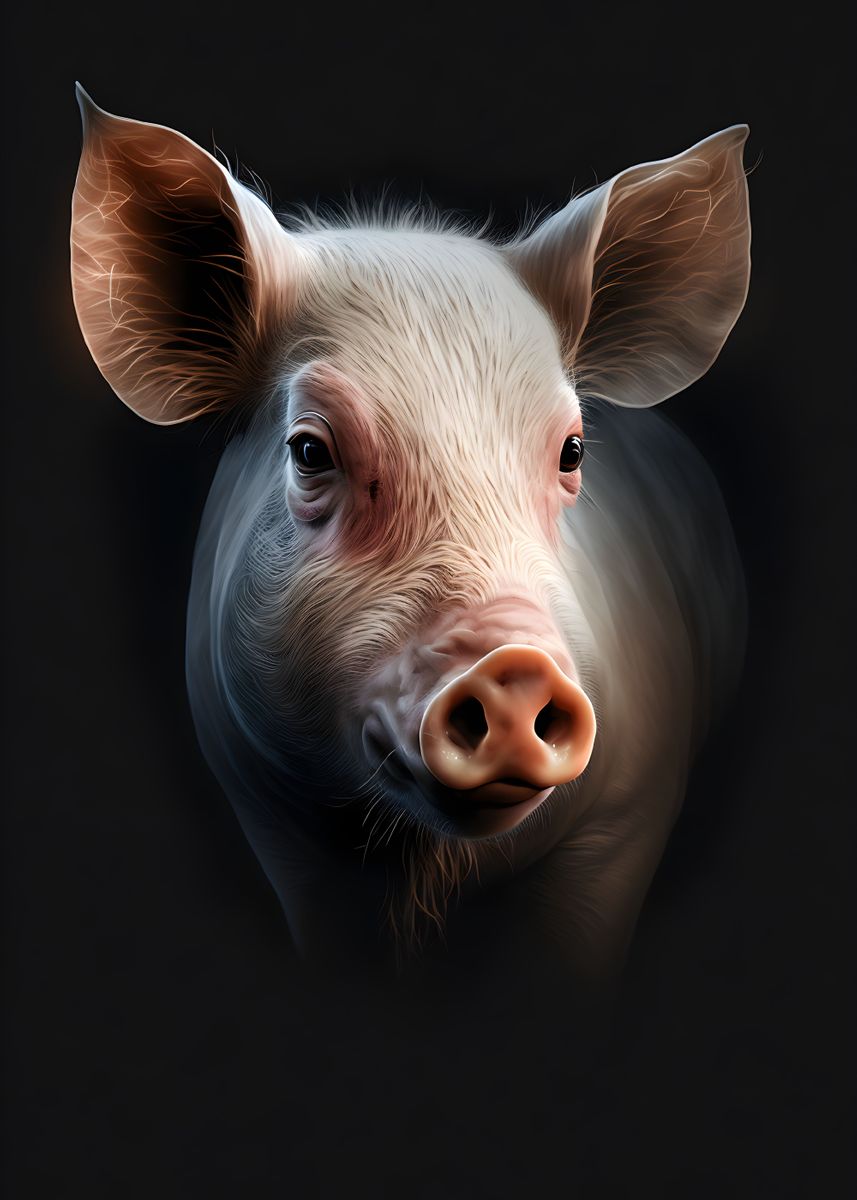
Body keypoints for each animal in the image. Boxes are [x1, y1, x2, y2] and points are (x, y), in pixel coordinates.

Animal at [70, 85, 750, 977]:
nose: (515, 664)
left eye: (570, 449)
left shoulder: (623, 824)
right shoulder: (281, 831)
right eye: (309, 450)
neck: (426, 869)